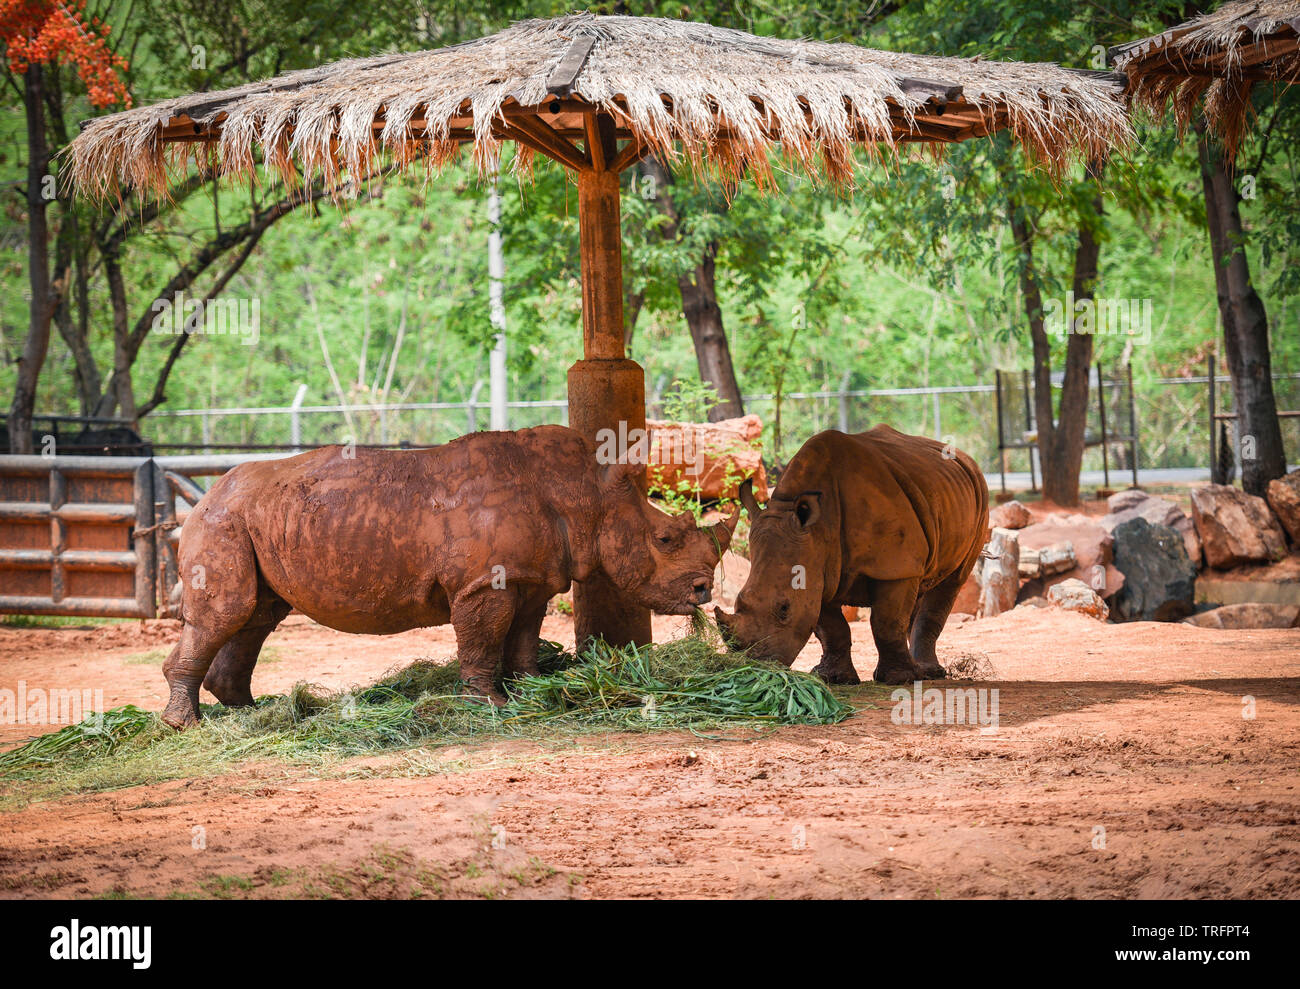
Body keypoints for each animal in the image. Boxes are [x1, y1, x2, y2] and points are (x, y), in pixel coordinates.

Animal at [162, 425, 737, 728]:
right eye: (665, 540)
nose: (703, 590)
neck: (586, 493)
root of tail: (204, 496)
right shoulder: (484, 582)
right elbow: (483, 639)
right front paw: (490, 706)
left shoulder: (532, 578)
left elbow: (524, 637)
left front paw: (529, 692)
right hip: (222, 521)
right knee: (230, 613)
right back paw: (186, 726)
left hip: (251, 519)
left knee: (256, 617)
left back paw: (254, 715)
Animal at [715, 426, 987, 685]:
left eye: (784, 609)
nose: (755, 665)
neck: (819, 527)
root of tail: (965, 459)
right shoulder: (817, 567)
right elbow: (831, 628)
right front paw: (834, 678)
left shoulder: (894, 567)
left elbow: (886, 623)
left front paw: (899, 679)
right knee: (922, 580)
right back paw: (920, 670)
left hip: (979, 491)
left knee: (951, 581)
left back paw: (928, 673)